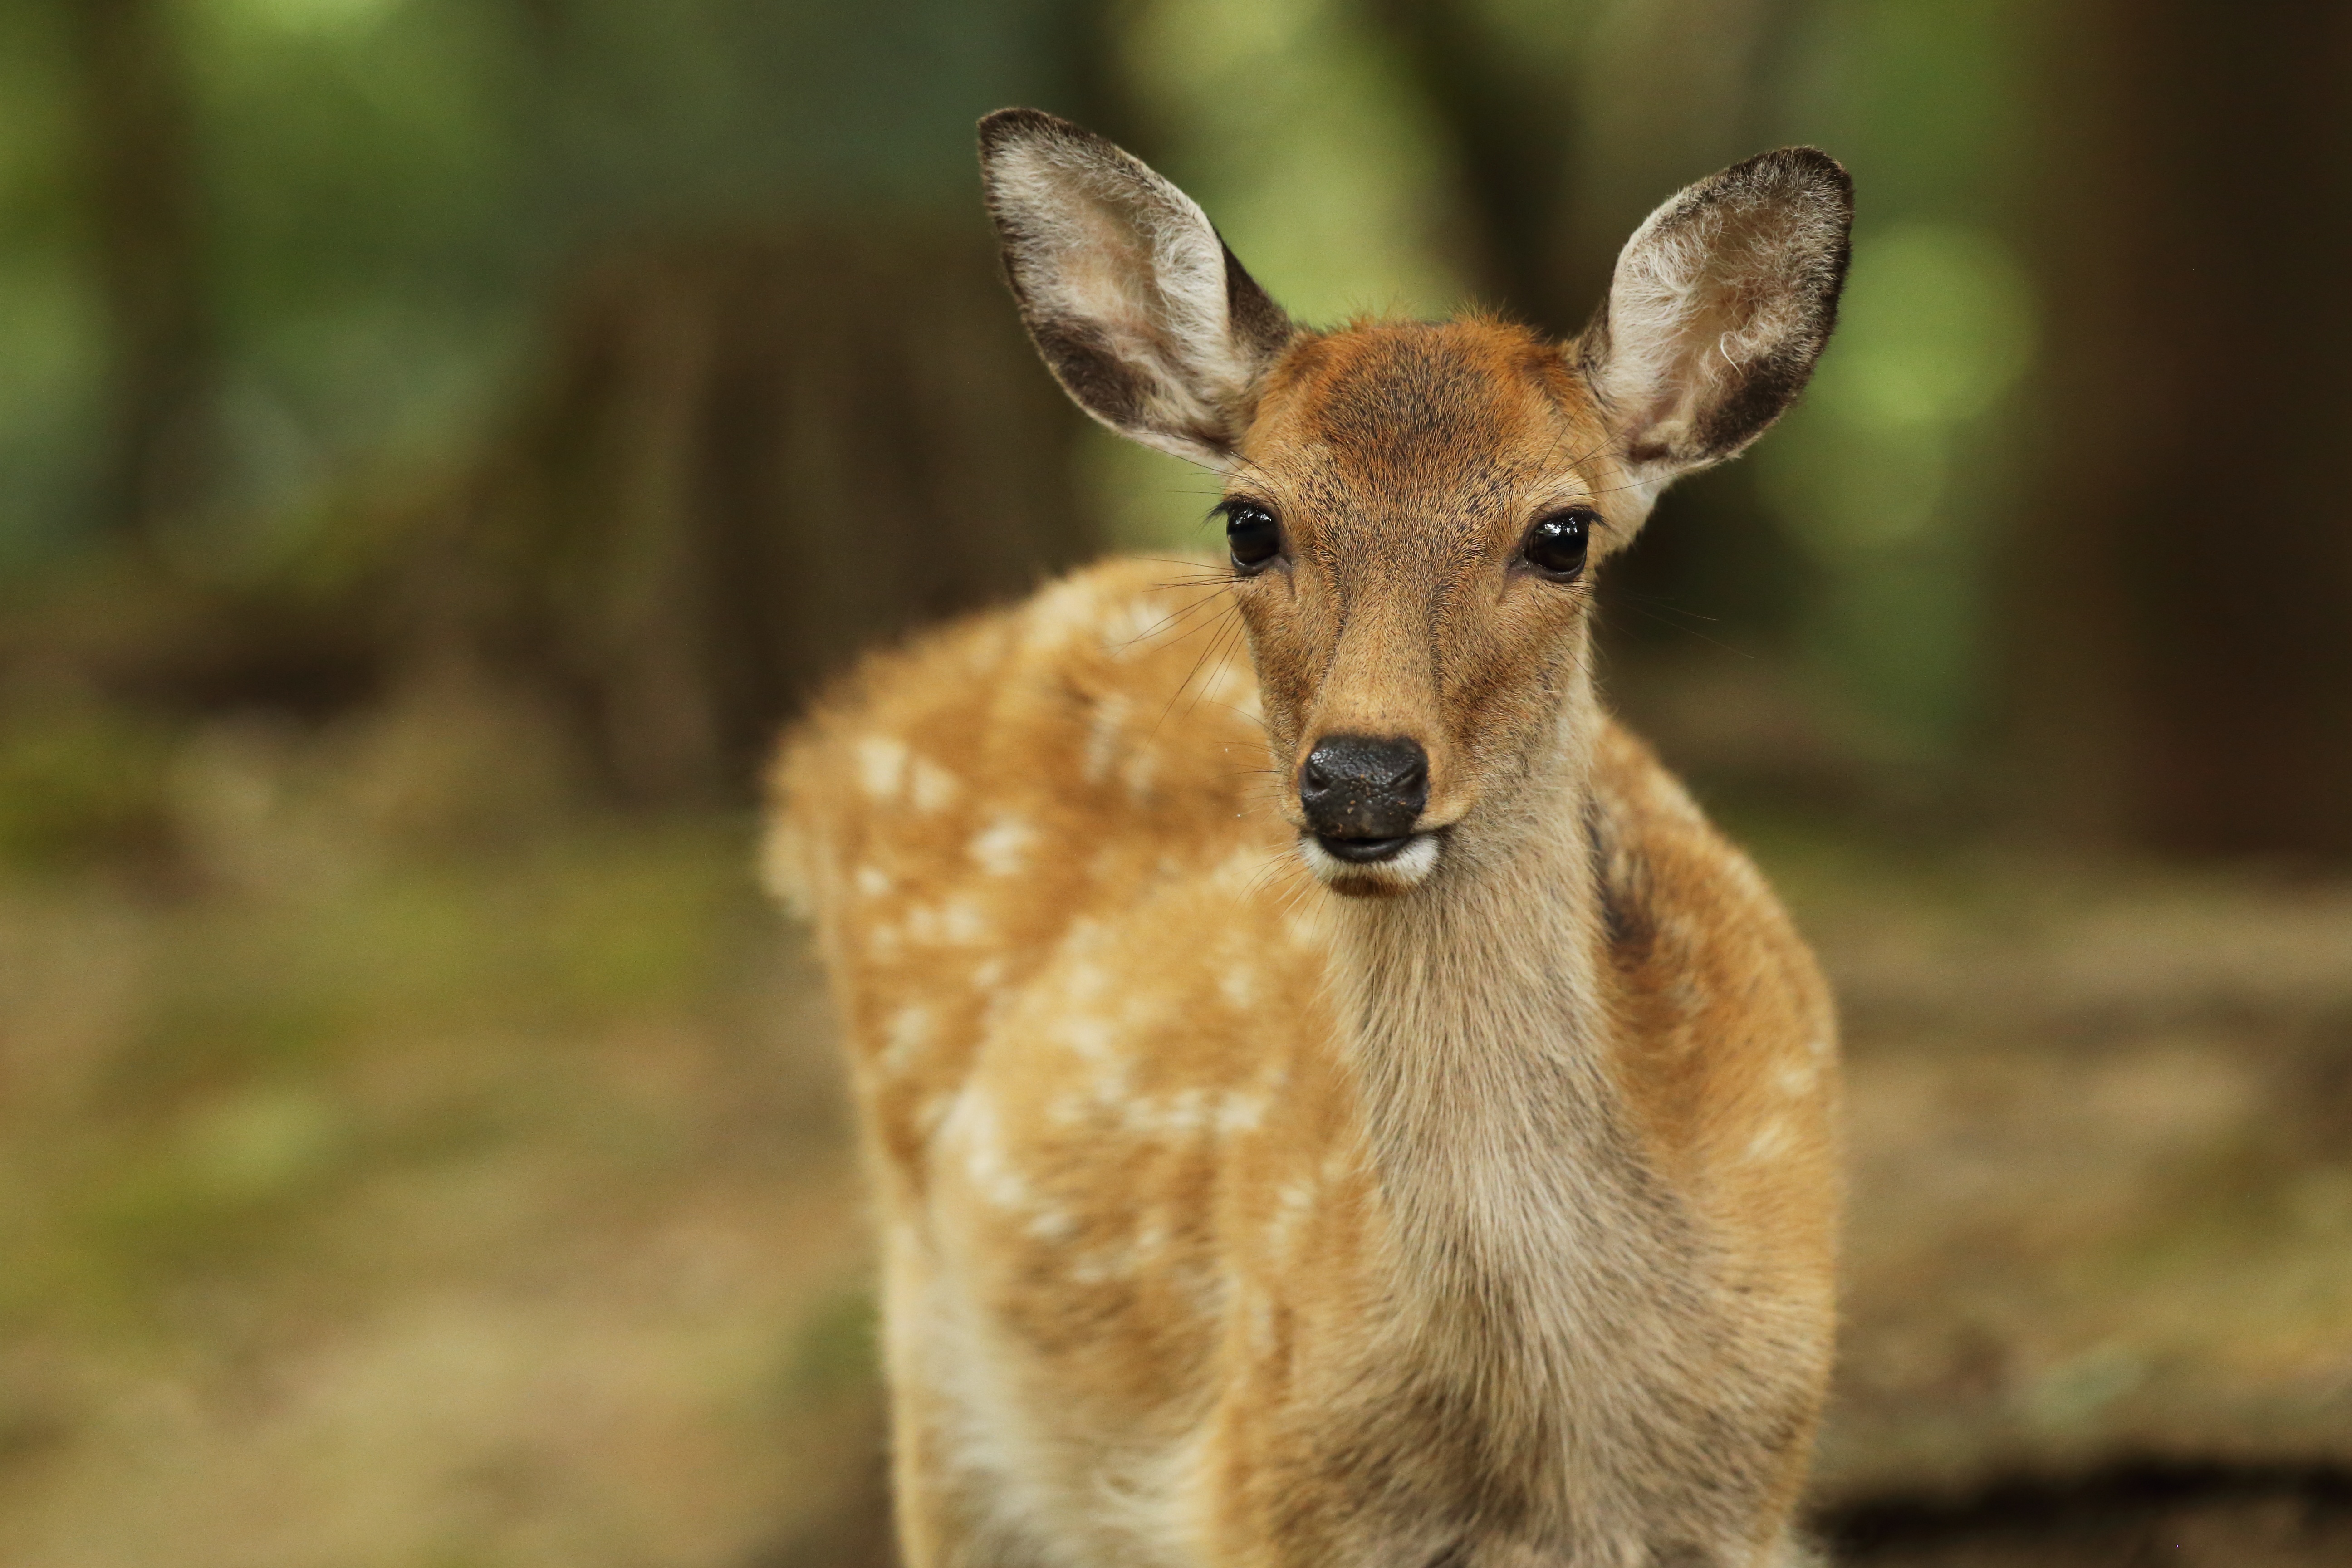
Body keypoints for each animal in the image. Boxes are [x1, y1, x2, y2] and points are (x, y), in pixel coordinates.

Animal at [770, 107, 1851, 1568]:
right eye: (1251, 521)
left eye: (1561, 533)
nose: (1360, 780)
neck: (1558, 1446)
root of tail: (838, 738)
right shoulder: (1256, 1491)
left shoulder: (1746, 1507)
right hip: (942, 1379)